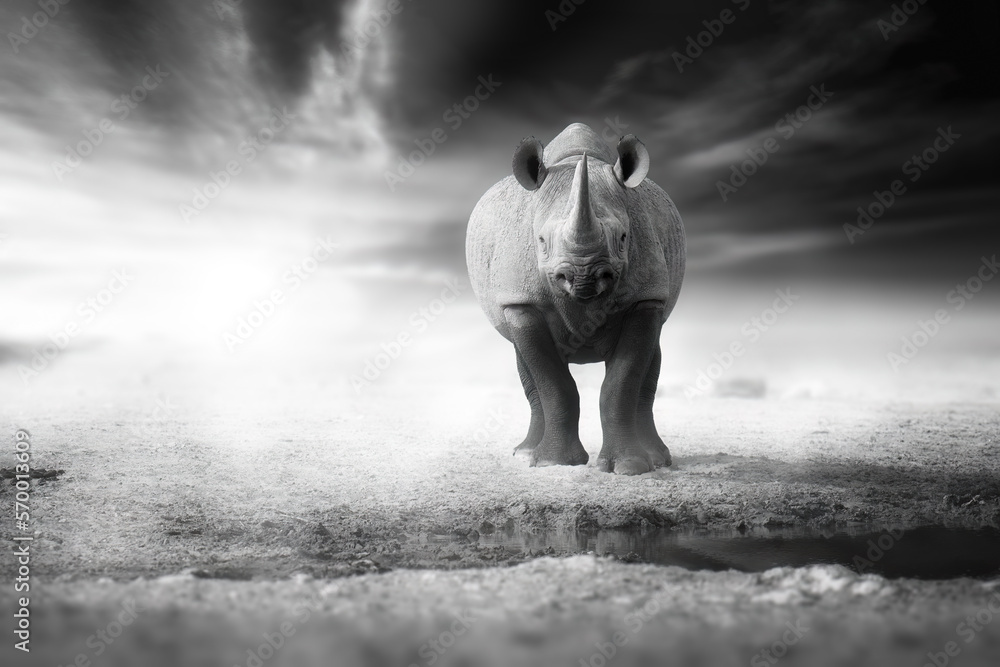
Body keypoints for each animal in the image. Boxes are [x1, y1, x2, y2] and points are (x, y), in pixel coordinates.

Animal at [466, 123, 685, 475]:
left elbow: (622, 382)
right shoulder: (521, 302)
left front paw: (629, 467)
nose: (584, 276)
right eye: (541, 240)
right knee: (524, 363)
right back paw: (525, 455)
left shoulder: (646, 297)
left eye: (623, 238)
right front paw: (553, 463)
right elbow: (553, 382)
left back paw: (659, 460)